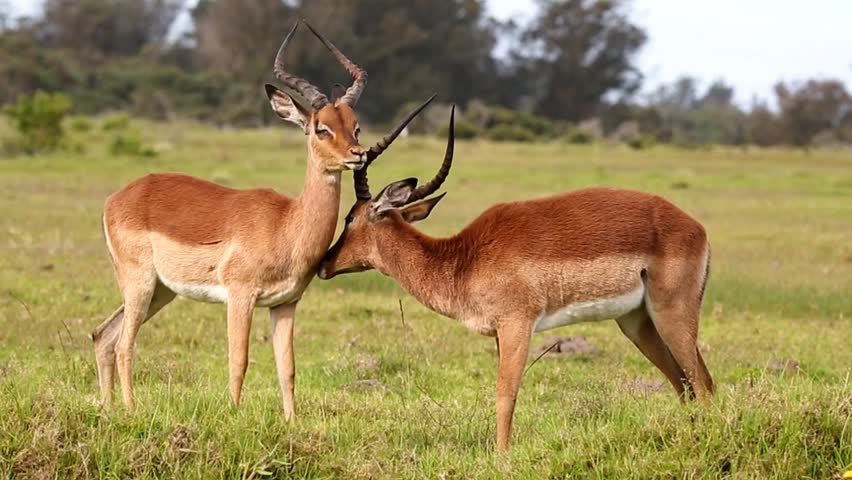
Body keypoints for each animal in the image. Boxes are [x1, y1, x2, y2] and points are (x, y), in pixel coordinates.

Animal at [91, 20, 433, 416]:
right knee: (123, 343)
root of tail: (119, 197)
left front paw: (292, 423)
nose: (357, 155)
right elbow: (238, 361)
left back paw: (108, 407)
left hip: (162, 290)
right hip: (141, 283)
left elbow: (288, 369)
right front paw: (233, 414)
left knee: (103, 335)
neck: (287, 224)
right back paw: (131, 409)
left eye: (355, 125)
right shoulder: (240, 297)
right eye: (322, 127)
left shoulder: (285, 303)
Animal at [318, 108, 714, 450]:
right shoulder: (500, 332)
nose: (323, 263)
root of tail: (696, 228)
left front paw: (502, 456)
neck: (463, 258)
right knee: (683, 384)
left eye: (349, 218)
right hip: (635, 322)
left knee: (703, 382)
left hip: (672, 314)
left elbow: (505, 393)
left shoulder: (517, 325)